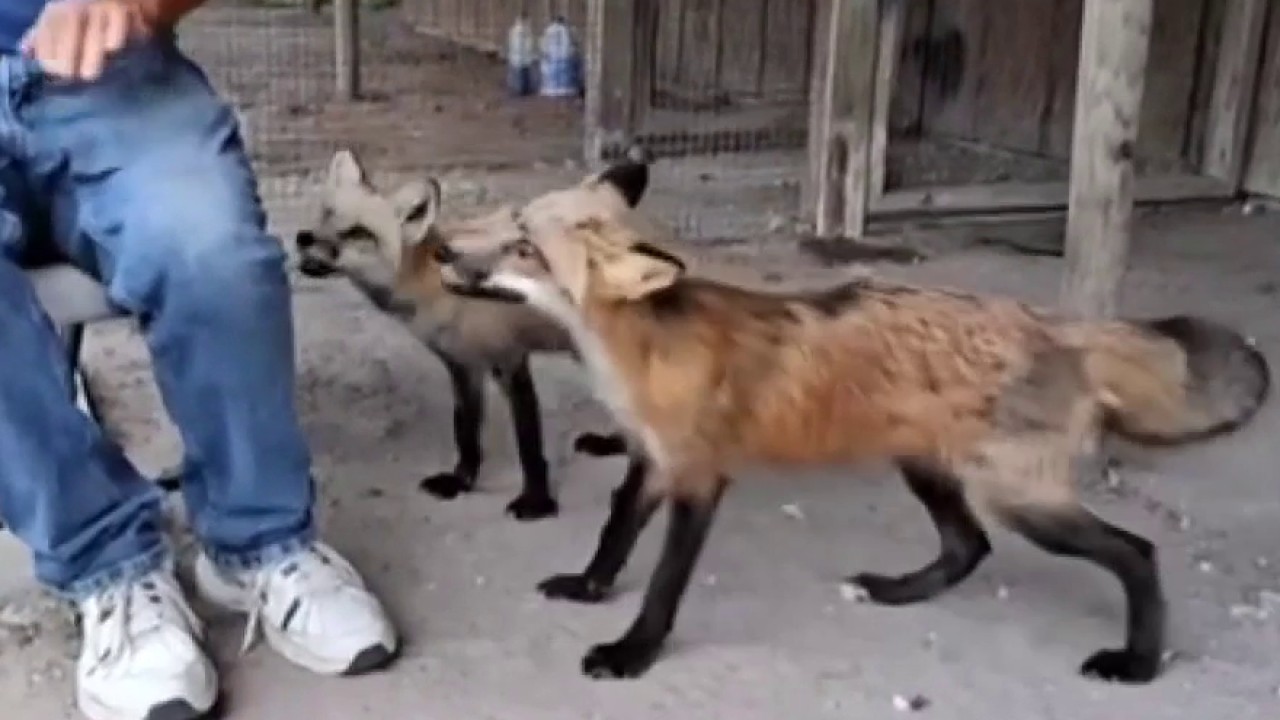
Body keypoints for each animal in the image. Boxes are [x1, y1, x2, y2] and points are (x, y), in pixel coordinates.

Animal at [293, 149, 631, 520]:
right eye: (326, 214)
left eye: (358, 233)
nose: (303, 238)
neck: (438, 288)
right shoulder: (462, 367)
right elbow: (466, 434)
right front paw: (460, 482)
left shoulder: (510, 362)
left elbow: (528, 443)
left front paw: (536, 501)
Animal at [431, 186, 1271, 684]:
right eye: (506, 225)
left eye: (525, 247)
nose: (441, 251)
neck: (639, 351)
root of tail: (1053, 323)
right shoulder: (652, 458)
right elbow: (613, 534)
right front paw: (590, 586)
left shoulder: (700, 476)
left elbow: (665, 583)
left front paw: (633, 651)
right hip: (928, 469)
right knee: (969, 547)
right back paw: (901, 592)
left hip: (1024, 502)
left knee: (1136, 552)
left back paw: (1140, 661)